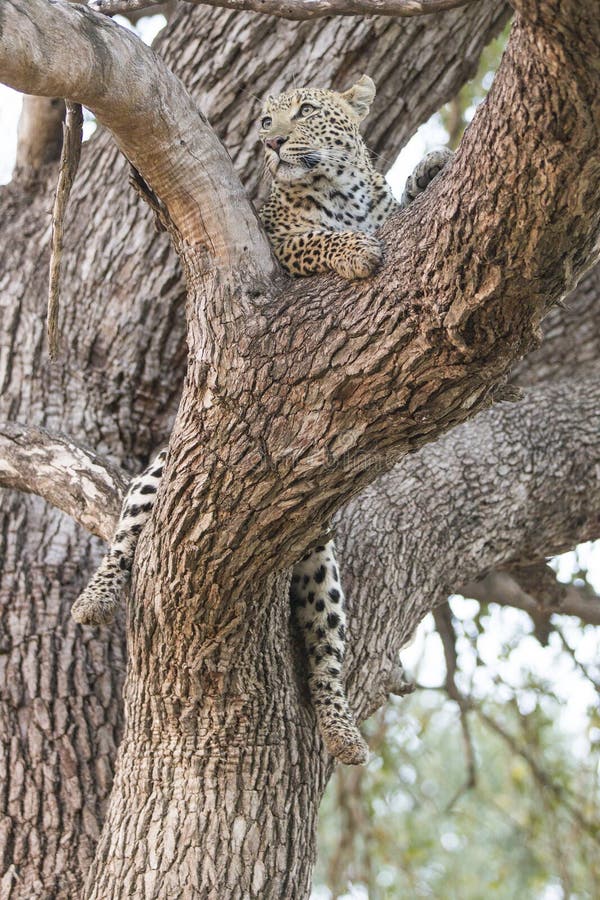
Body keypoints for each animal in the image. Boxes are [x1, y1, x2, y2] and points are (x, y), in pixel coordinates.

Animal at [71, 74, 452, 767]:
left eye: (304, 111)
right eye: (267, 119)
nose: (271, 142)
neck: (339, 189)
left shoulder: (385, 212)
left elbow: (399, 208)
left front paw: (429, 168)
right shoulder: (280, 253)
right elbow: (314, 240)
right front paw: (354, 251)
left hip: (322, 563)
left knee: (325, 654)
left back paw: (341, 732)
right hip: (161, 473)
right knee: (125, 535)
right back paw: (95, 598)